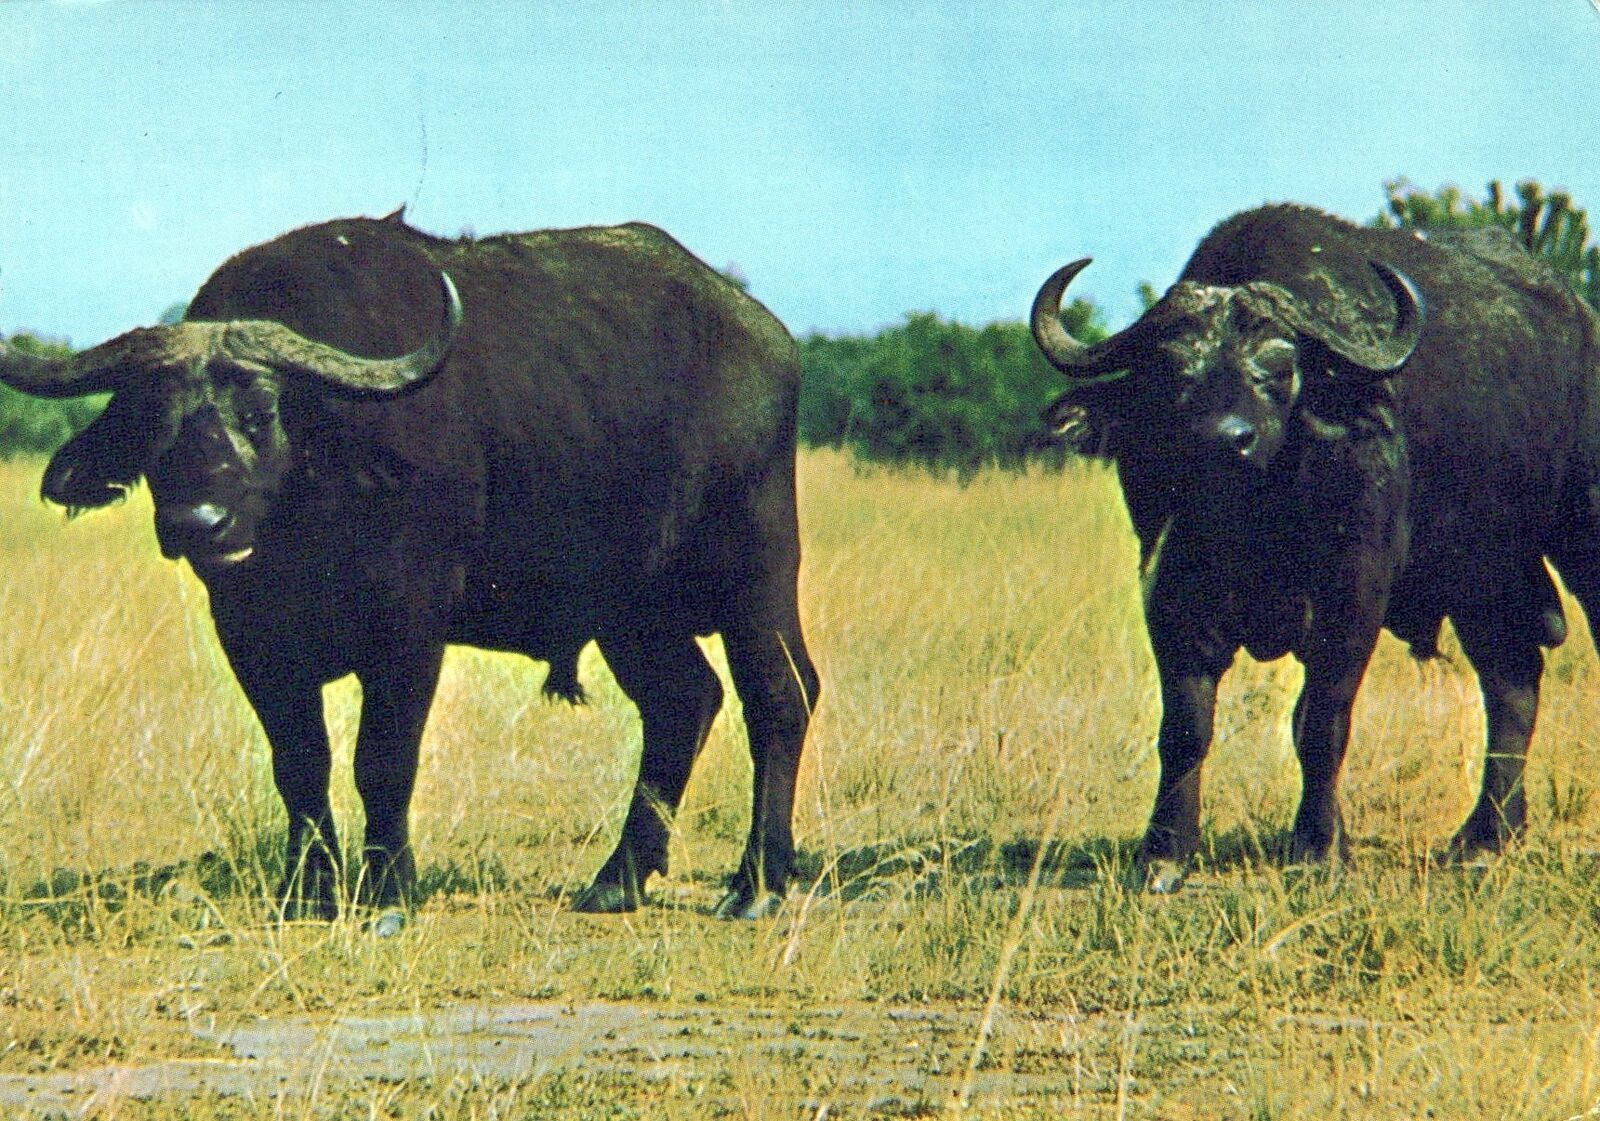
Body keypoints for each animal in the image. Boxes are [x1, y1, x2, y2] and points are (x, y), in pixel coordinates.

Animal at [0, 209, 819, 924]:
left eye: (260, 409)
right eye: (149, 420)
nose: (197, 523)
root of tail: (768, 337)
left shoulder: (410, 628)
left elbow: (382, 759)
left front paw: (390, 892)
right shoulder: (252, 640)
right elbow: (300, 763)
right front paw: (309, 891)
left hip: (758, 571)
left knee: (780, 696)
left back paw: (756, 885)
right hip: (630, 612)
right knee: (683, 701)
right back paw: (617, 880)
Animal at [1030, 204, 1600, 890]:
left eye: (1277, 369)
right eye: (1172, 373)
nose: (1224, 440)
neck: (1257, 521)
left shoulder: (1352, 599)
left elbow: (1321, 723)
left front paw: (1320, 847)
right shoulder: (1169, 591)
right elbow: (1185, 727)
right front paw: (1164, 853)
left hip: (1580, 531)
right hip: (1479, 572)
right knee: (1512, 680)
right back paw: (1485, 837)